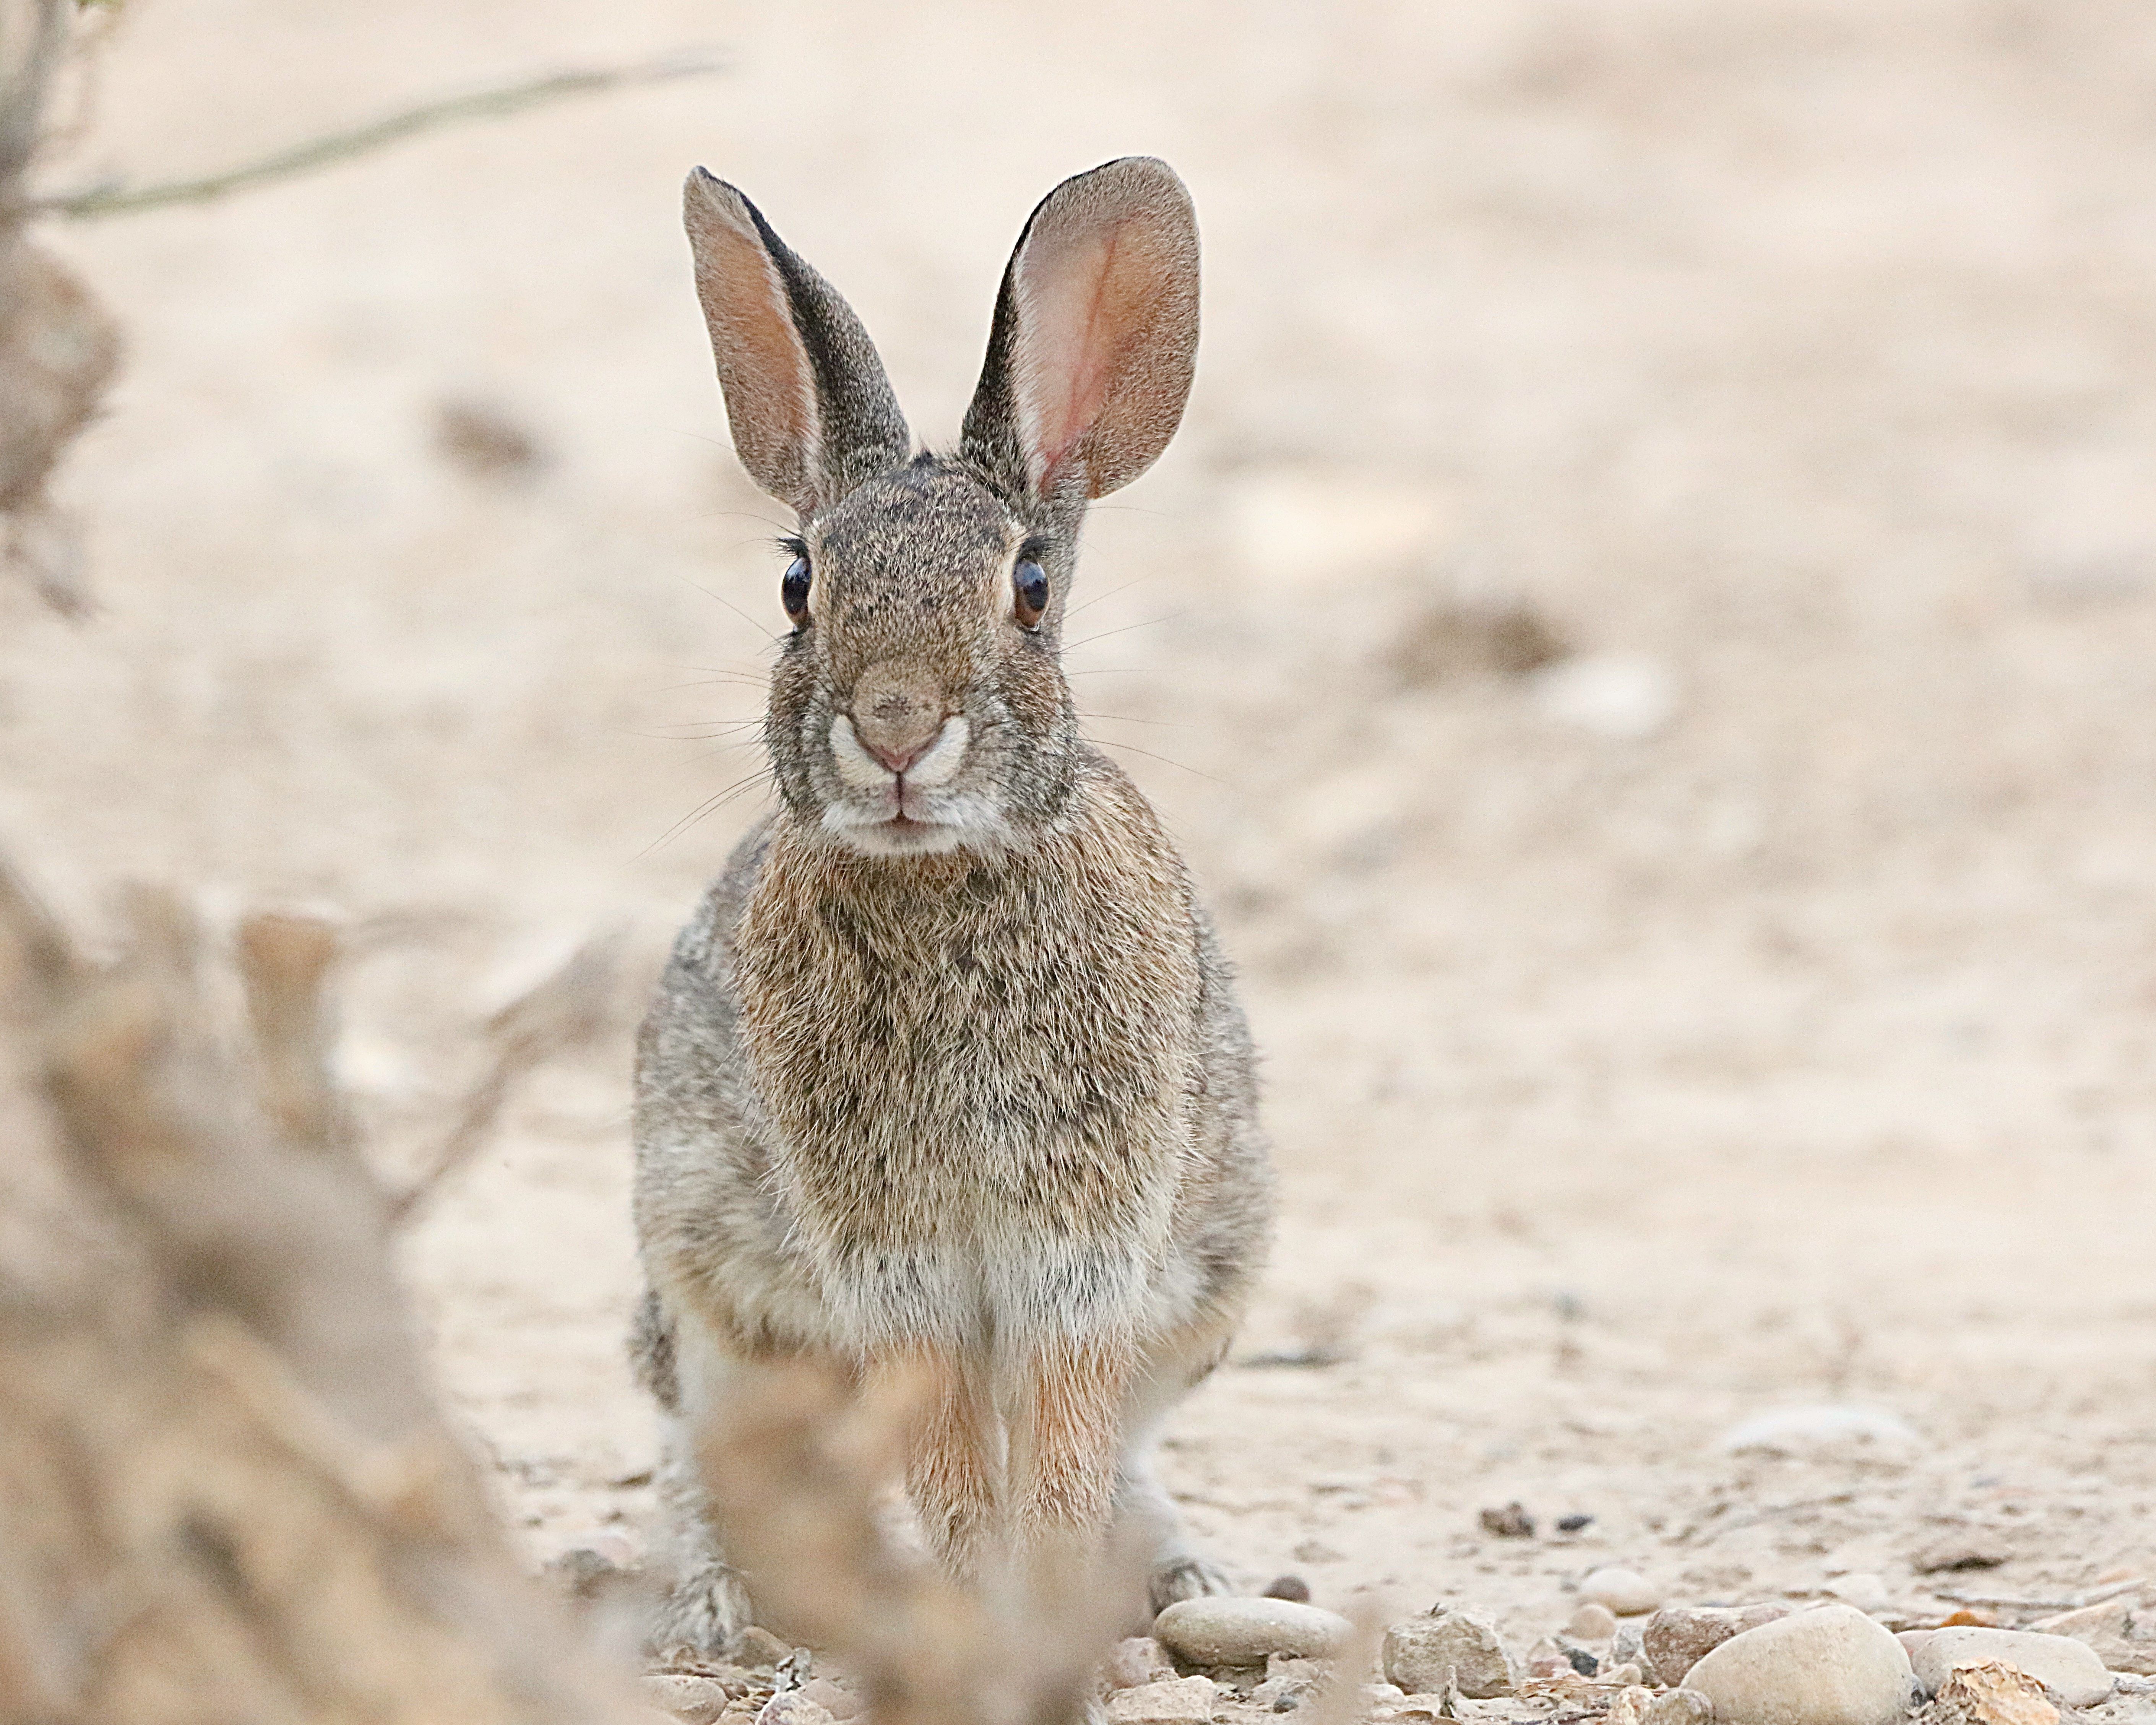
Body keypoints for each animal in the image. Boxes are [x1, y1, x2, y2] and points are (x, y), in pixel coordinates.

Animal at [630, 156, 1273, 1657]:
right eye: (797, 584)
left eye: (1030, 588)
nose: (896, 729)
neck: (945, 879)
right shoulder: (891, 1259)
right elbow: (944, 1447)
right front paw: (990, 1619)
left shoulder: (1086, 1247)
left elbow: (1066, 1444)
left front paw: (1047, 1614)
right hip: (700, 1293)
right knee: (696, 1446)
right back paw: (710, 1607)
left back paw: (1188, 1579)